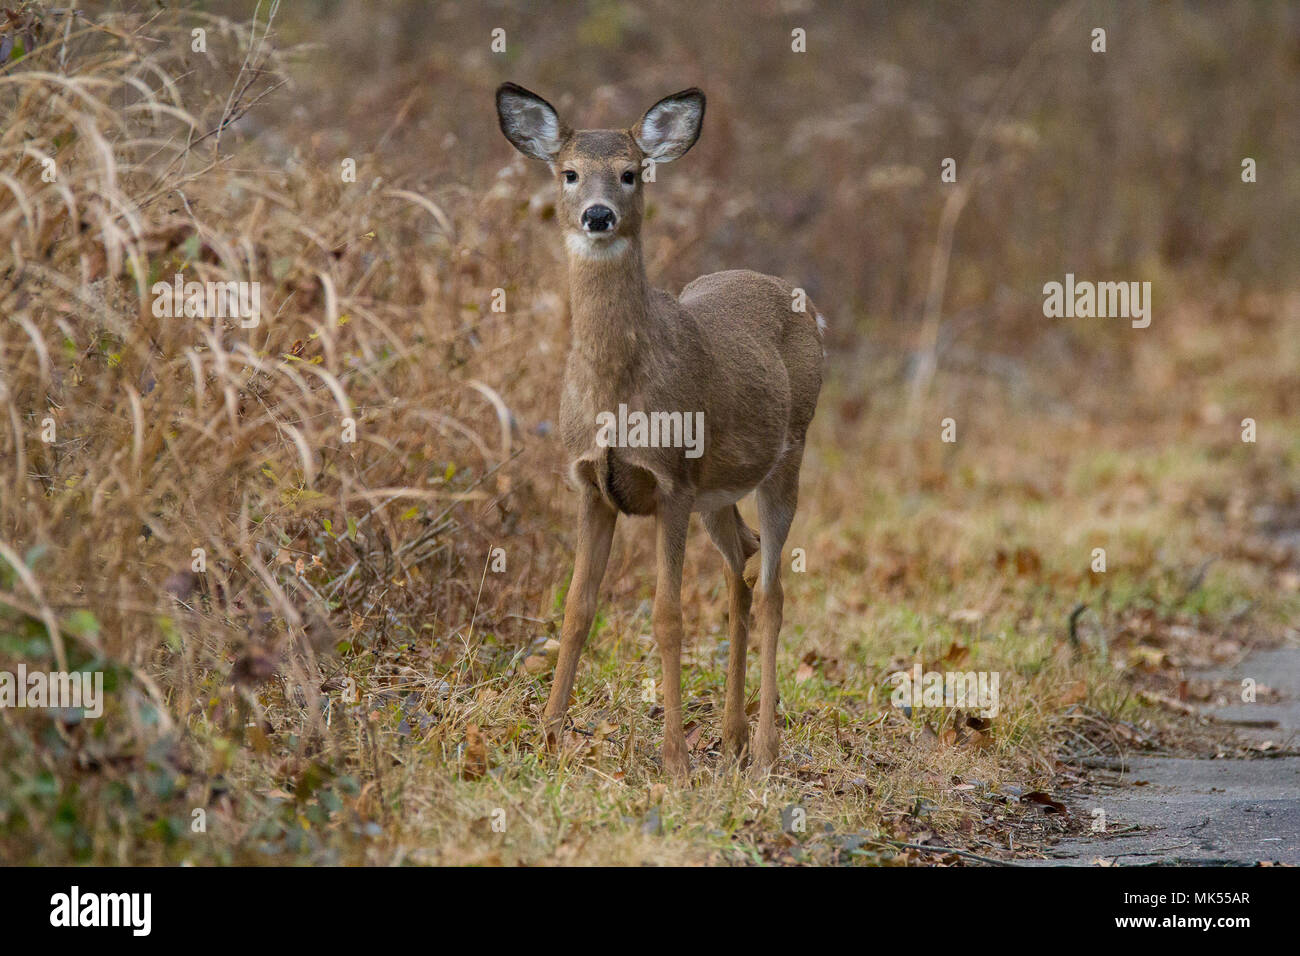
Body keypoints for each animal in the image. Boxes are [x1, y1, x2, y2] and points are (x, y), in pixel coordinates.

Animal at [495, 82, 824, 779]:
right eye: (568, 173)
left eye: (630, 172)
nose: (597, 215)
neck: (618, 390)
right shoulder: (591, 484)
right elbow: (576, 608)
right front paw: (547, 738)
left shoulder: (671, 480)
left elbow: (668, 617)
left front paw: (673, 758)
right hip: (717, 491)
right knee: (743, 564)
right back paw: (730, 736)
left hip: (789, 454)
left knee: (775, 585)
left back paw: (763, 747)